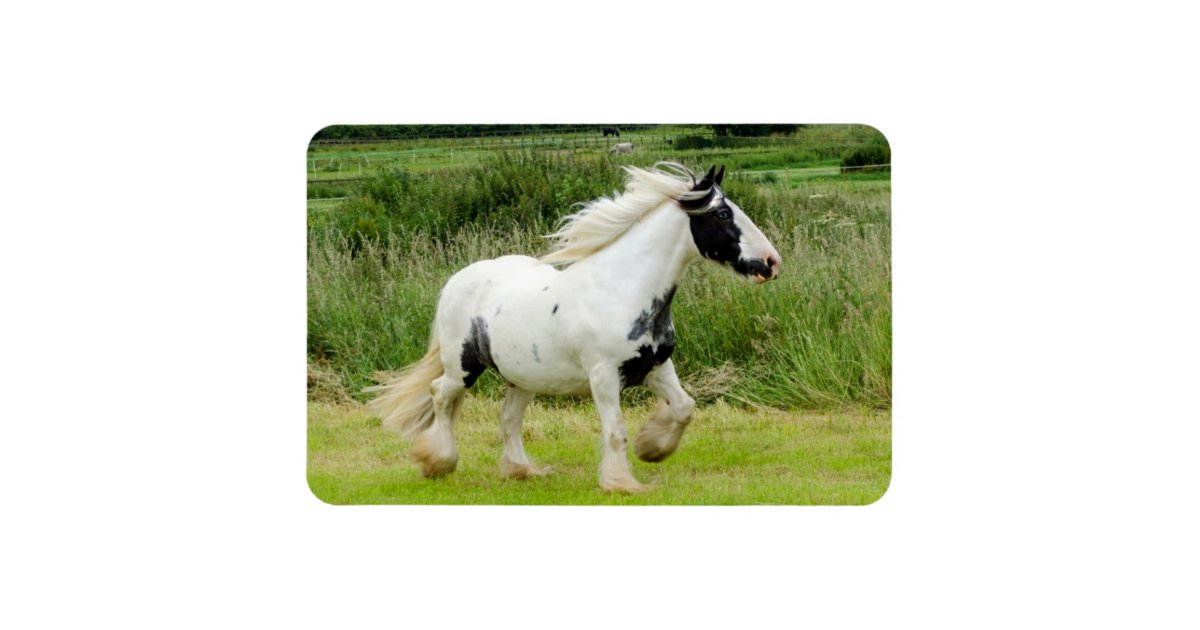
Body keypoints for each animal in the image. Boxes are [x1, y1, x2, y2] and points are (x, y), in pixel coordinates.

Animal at [366, 163, 781, 492]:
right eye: (723, 214)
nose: (771, 262)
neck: (622, 289)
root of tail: (456, 281)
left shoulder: (656, 366)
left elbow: (684, 407)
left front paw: (652, 449)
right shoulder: (604, 375)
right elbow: (615, 430)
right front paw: (621, 483)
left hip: (523, 376)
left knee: (508, 416)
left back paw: (521, 470)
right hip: (462, 367)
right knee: (440, 395)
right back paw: (439, 462)